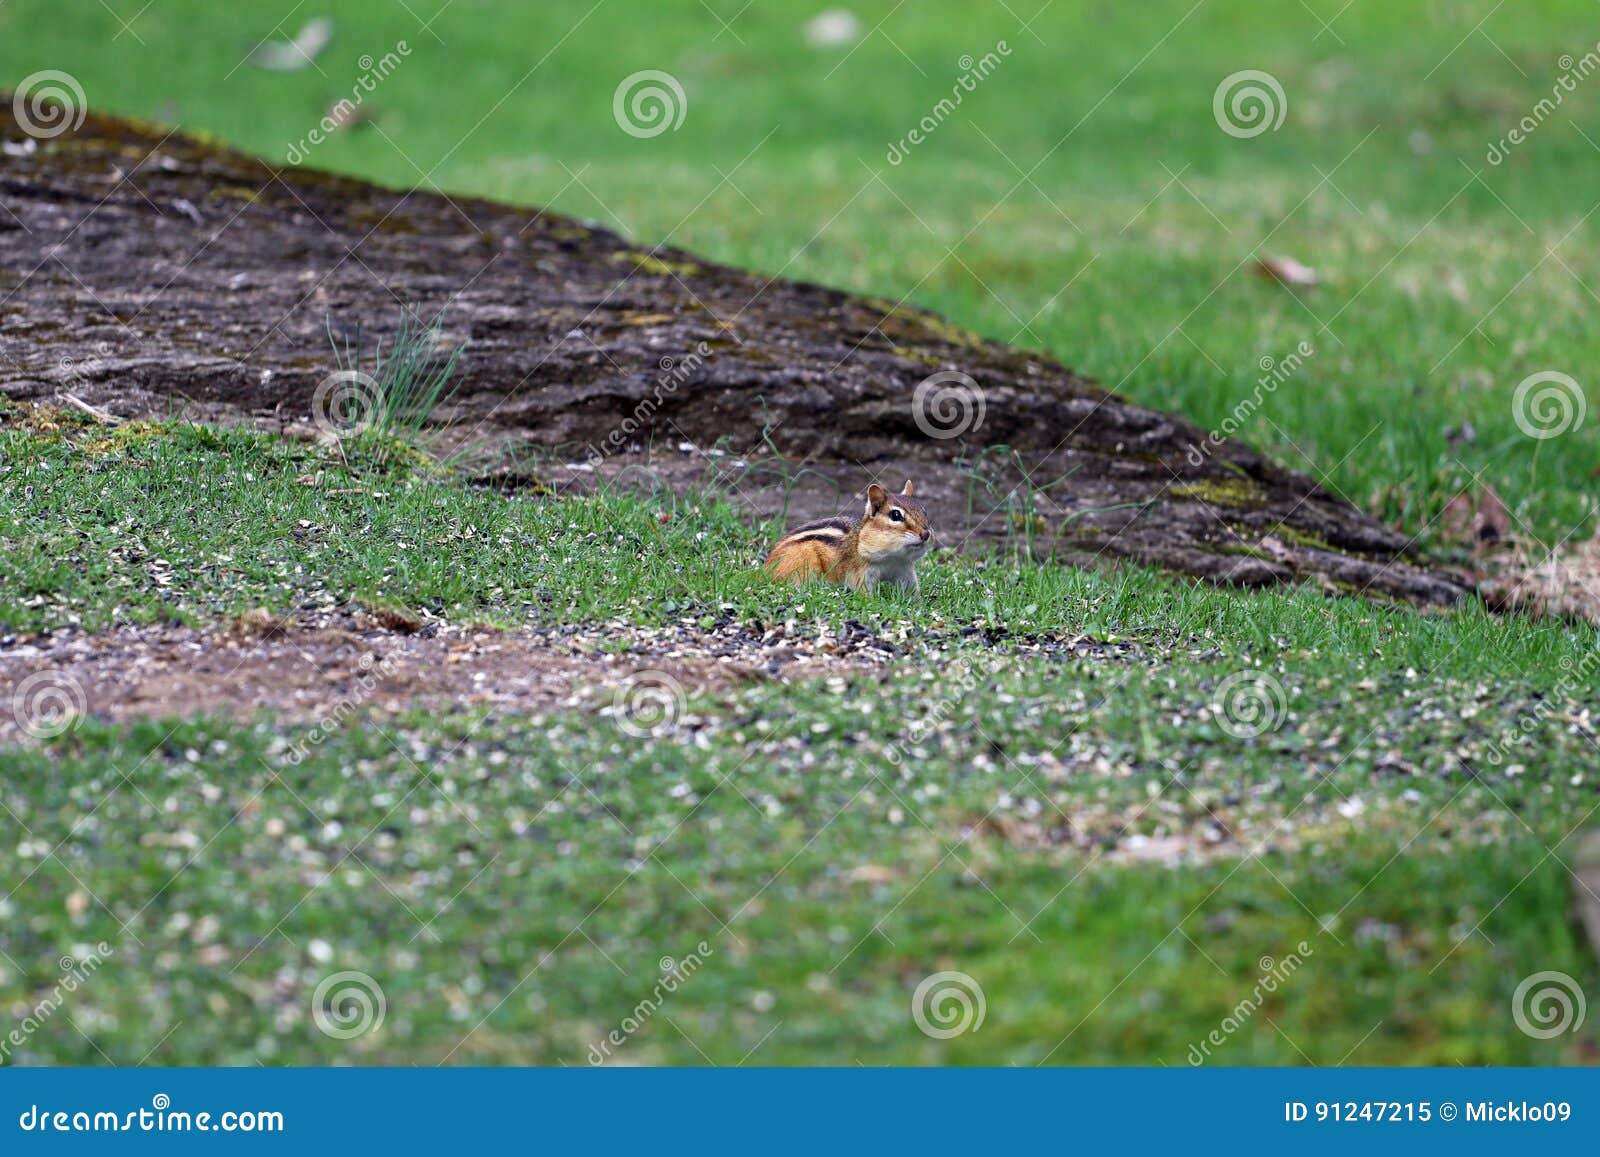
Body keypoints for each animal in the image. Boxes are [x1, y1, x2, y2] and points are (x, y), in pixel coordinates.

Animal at [765, 480, 933, 591]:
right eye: (896, 515)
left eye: (924, 511)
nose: (926, 534)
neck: (892, 558)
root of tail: (764, 570)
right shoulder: (861, 573)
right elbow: (864, 593)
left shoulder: (904, 570)